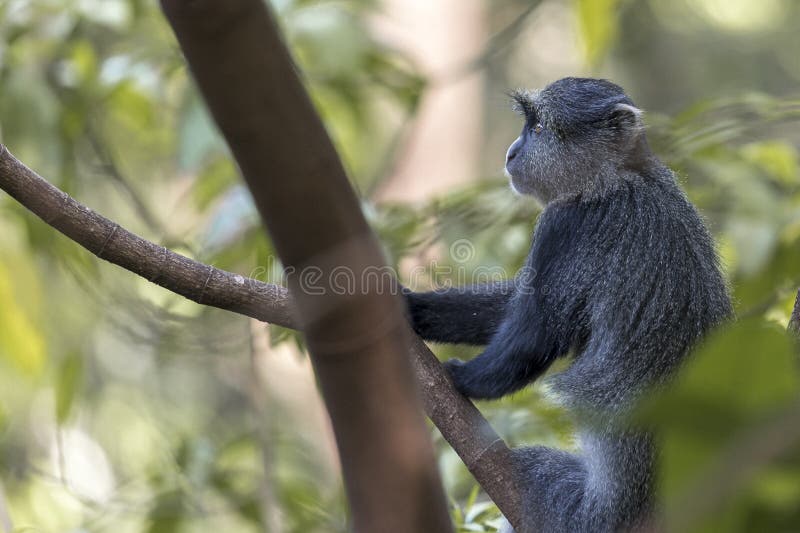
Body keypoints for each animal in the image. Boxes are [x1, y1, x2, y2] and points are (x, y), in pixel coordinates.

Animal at [404, 77, 732, 533]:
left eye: (539, 128)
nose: (511, 151)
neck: (620, 174)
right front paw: (410, 309)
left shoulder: (568, 228)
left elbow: (536, 332)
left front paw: (462, 380)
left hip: (585, 513)